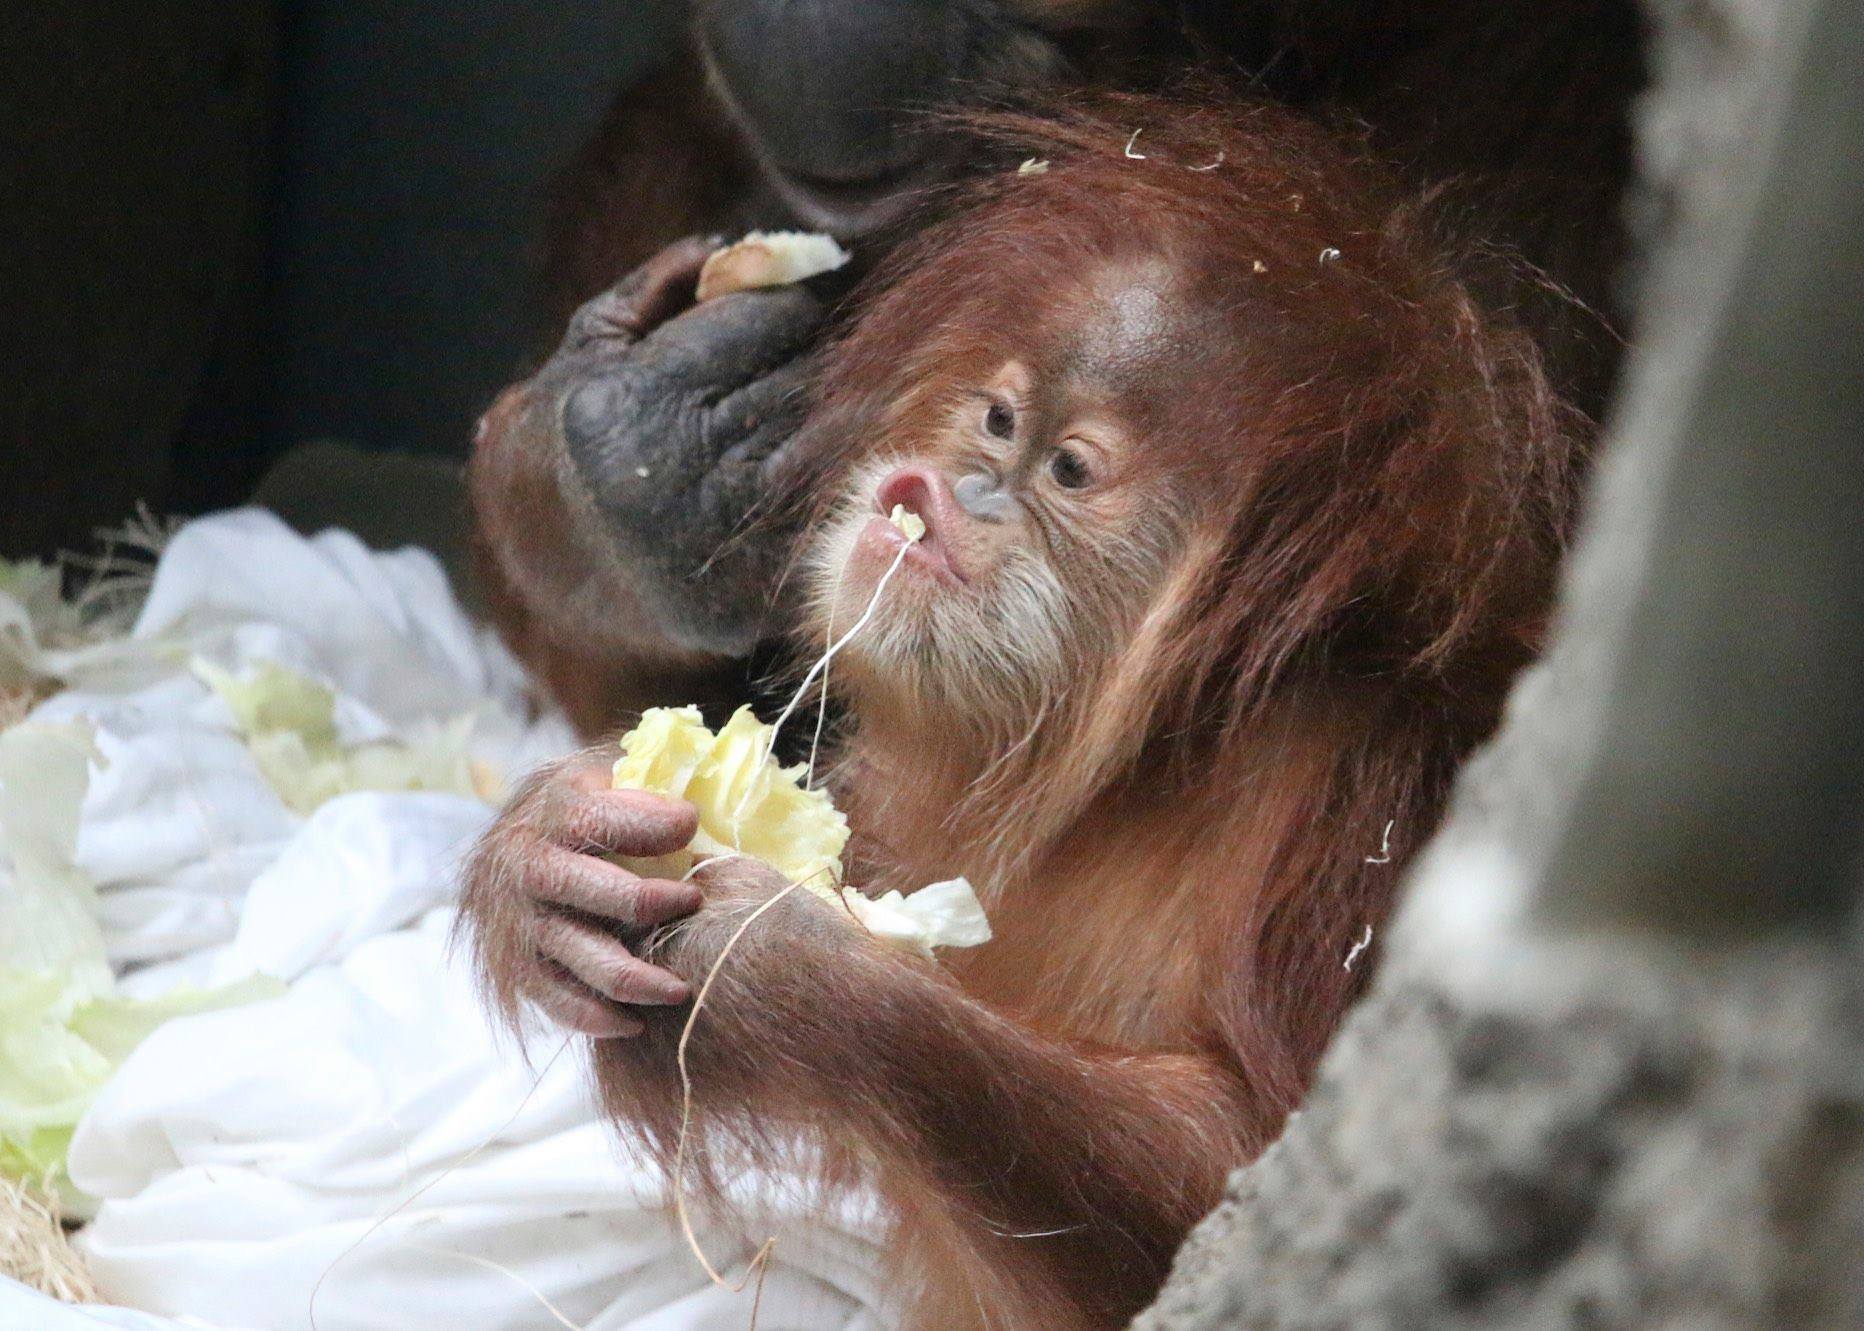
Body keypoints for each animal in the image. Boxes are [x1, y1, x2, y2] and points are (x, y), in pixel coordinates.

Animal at [459, 96, 1582, 1330]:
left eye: (1070, 469)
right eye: (997, 418)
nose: (934, 489)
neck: (1164, 754)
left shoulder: (1357, 815)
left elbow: (1248, 1167)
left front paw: (780, 964)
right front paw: (554, 848)